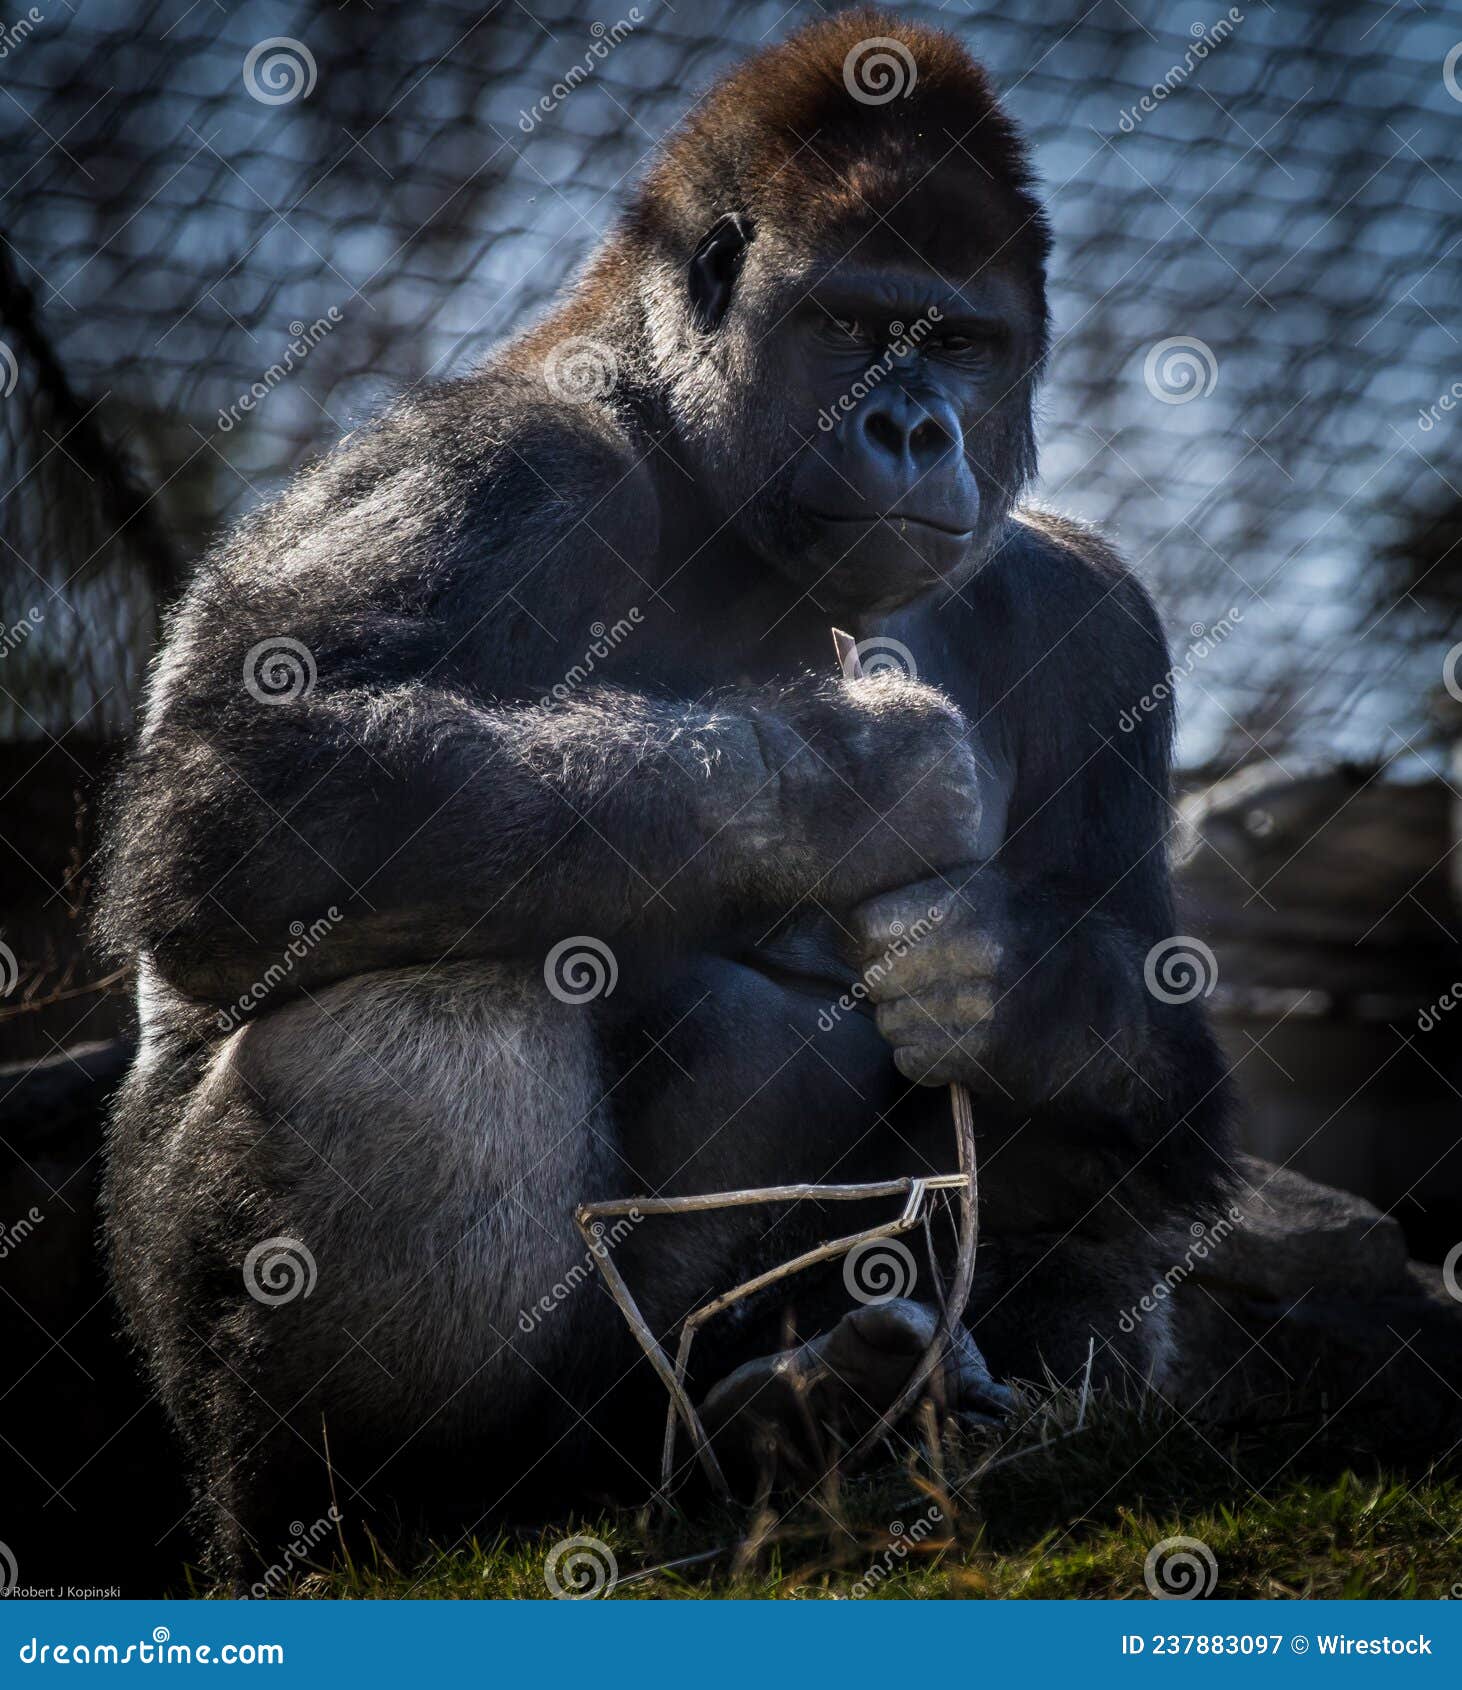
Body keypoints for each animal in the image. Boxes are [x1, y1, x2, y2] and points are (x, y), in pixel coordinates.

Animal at [98, 8, 1231, 1578]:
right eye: (847, 328)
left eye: (958, 344)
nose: (913, 430)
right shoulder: (498, 463)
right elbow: (246, 795)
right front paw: (852, 780)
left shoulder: (1094, 609)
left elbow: (1163, 1074)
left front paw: (1011, 985)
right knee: (436, 1010)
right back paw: (368, 1504)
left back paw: (812, 1407)